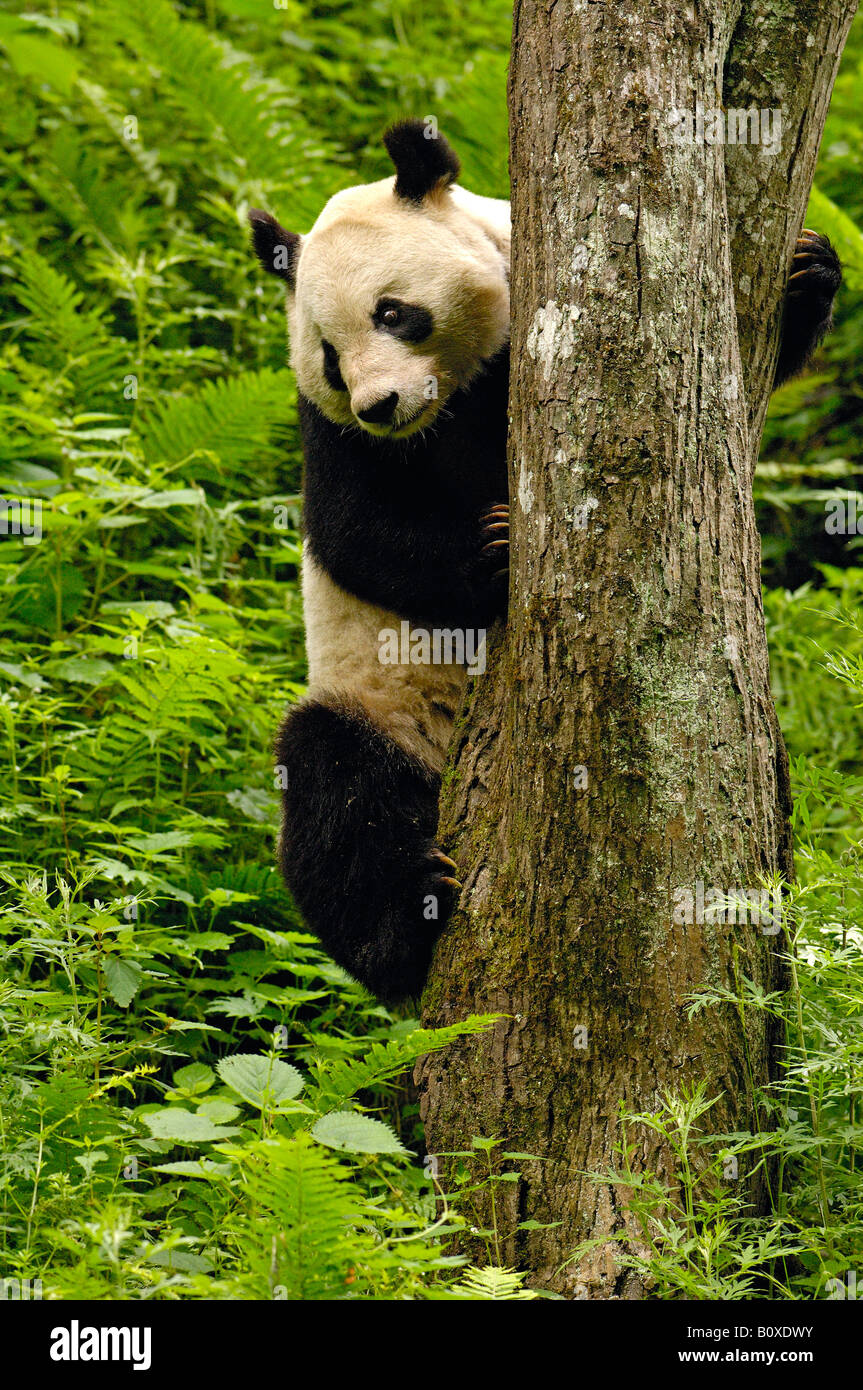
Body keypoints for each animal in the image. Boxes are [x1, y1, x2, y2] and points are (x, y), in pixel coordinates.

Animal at [249, 118, 841, 1004]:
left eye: (393, 313)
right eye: (328, 355)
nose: (380, 405)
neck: (451, 395)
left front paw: (807, 271)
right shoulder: (330, 430)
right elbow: (352, 532)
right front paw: (491, 557)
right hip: (380, 701)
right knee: (334, 787)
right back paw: (406, 926)